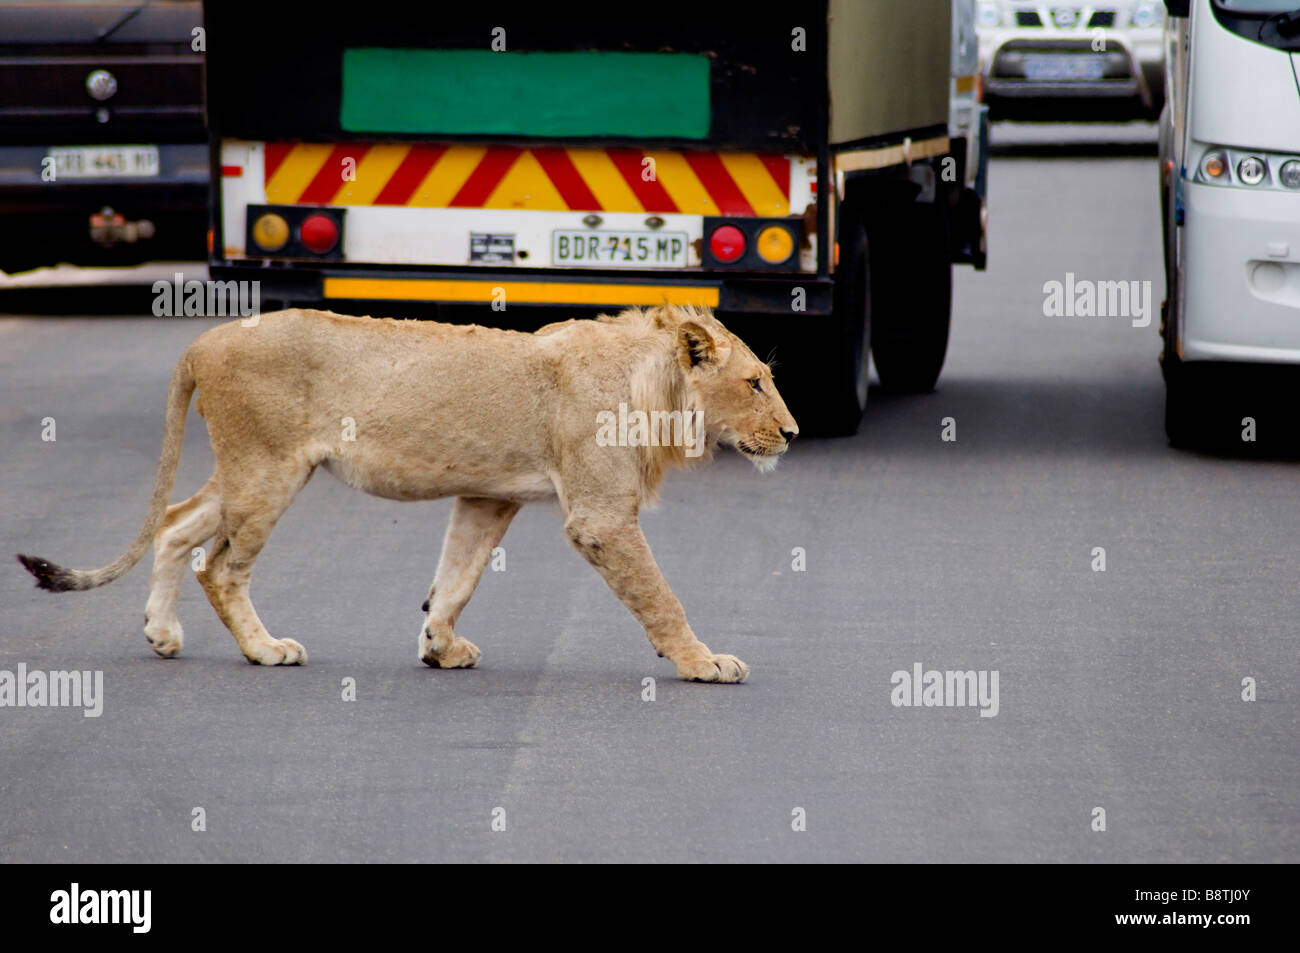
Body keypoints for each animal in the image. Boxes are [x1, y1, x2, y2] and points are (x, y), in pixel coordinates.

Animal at [17, 304, 797, 682]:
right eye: (756, 382)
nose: (791, 432)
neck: (656, 385)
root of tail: (202, 343)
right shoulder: (600, 517)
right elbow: (661, 596)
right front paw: (703, 662)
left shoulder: (488, 496)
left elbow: (456, 577)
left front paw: (438, 647)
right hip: (268, 467)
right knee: (222, 565)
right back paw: (265, 650)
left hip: (249, 468)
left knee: (177, 521)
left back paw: (162, 633)